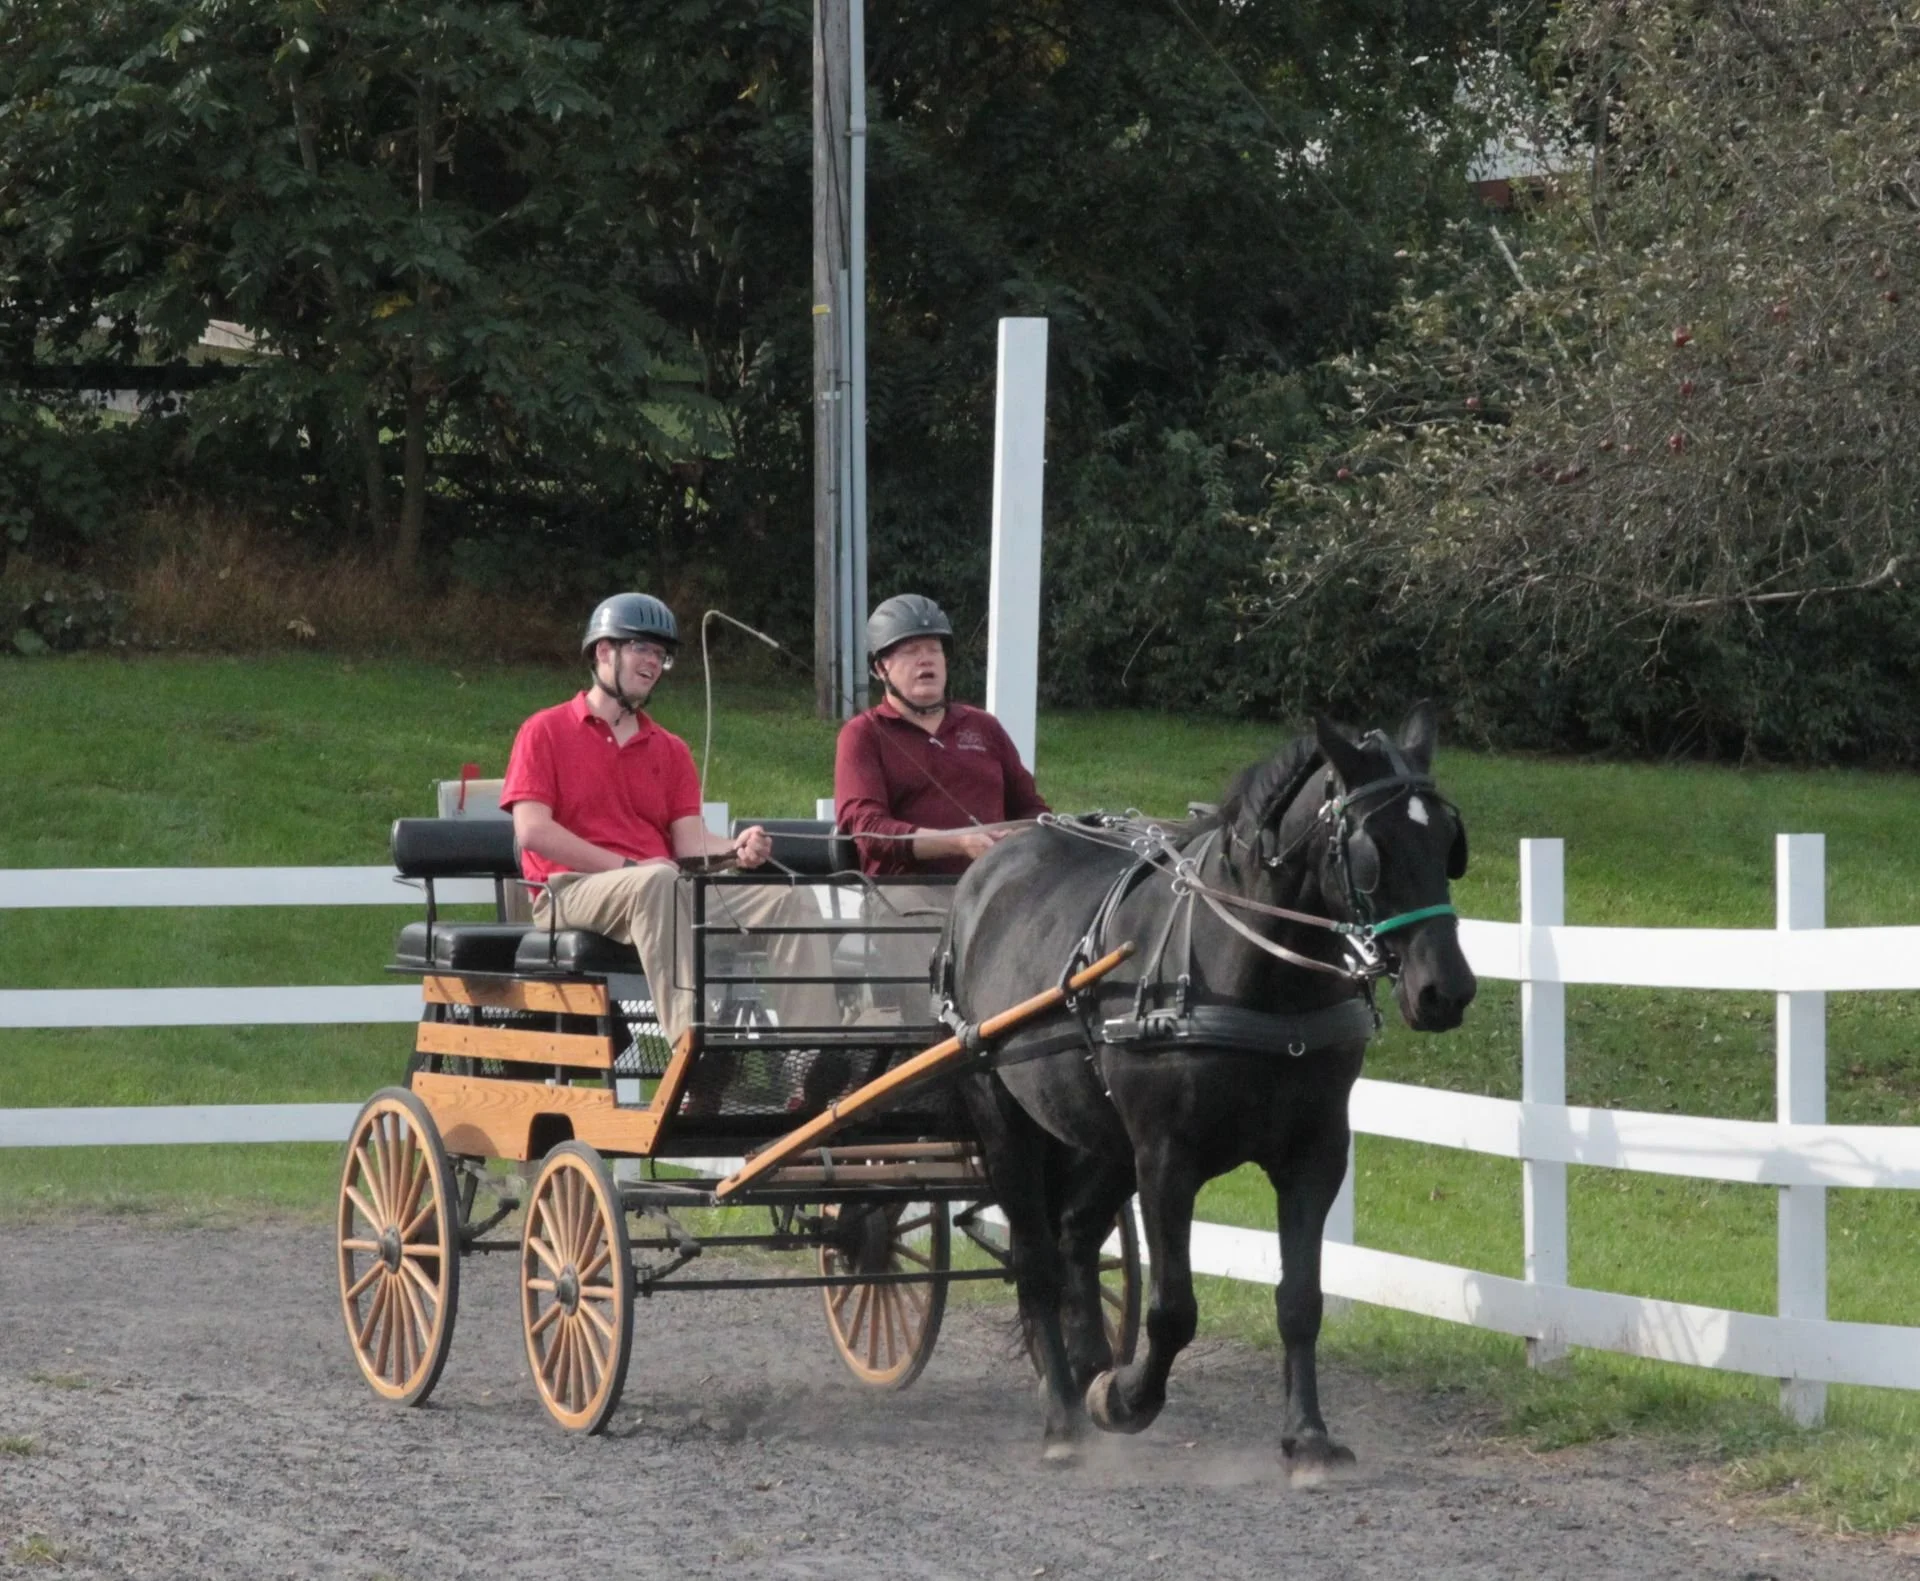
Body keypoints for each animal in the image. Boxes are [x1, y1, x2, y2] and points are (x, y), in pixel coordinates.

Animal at [938, 702, 1476, 1476]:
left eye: (1446, 842)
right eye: (1372, 848)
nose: (1446, 990)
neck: (1255, 978)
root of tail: (987, 867)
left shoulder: (1316, 1152)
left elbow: (1301, 1299)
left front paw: (1307, 1436)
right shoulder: (1167, 1158)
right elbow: (1173, 1309)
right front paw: (1127, 1399)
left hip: (1103, 1136)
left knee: (1075, 1237)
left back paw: (1089, 1364)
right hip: (1005, 1116)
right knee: (1036, 1260)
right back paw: (1066, 1414)